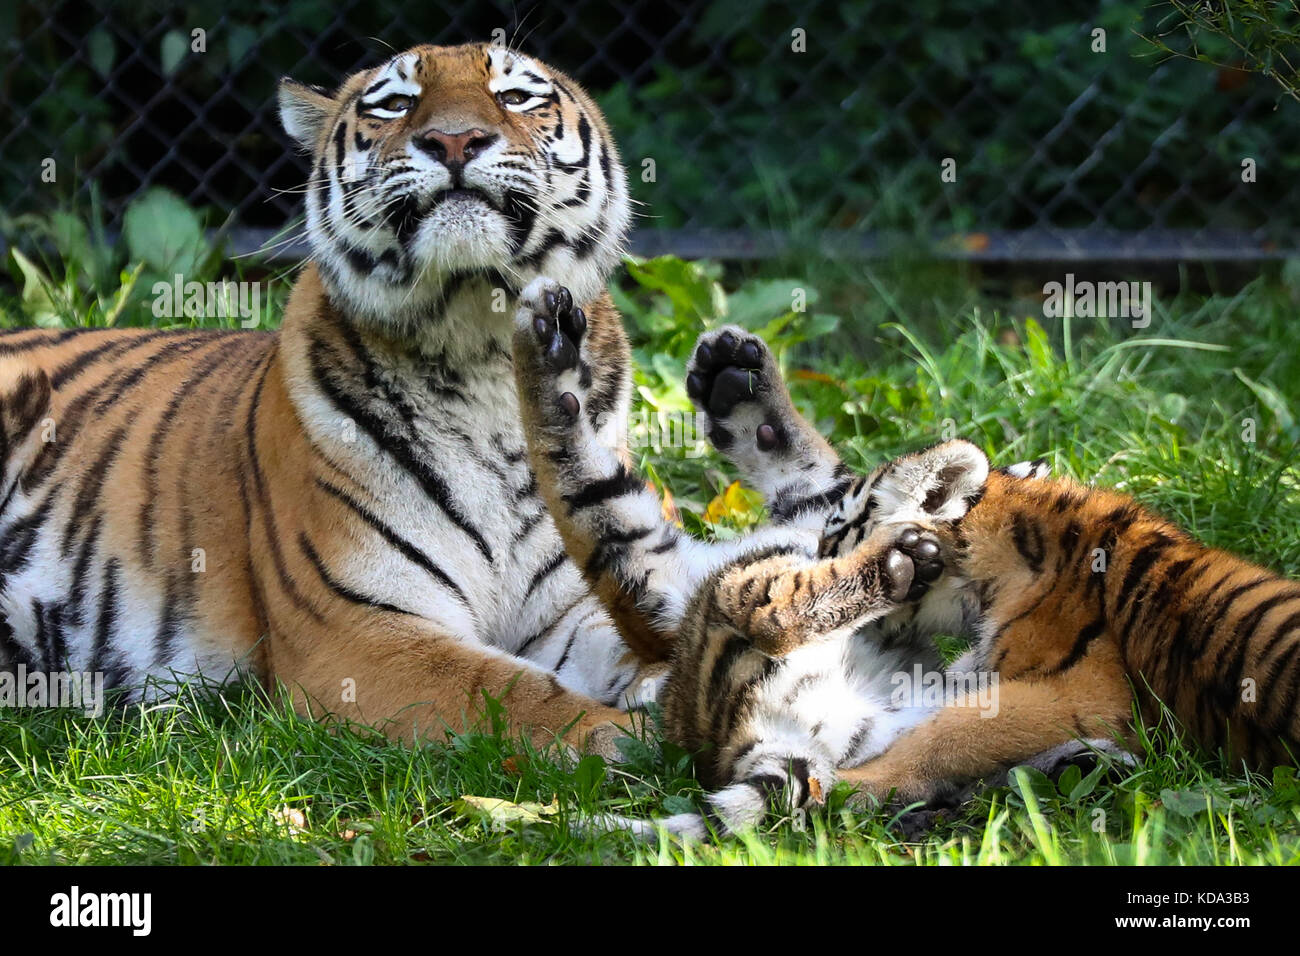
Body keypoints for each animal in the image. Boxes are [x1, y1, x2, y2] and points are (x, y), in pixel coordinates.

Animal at [0, 42, 803, 757]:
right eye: (394, 103)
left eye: (516, 96)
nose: (454, 139)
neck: (482, 353)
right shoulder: (354, 629)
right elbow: (510, 694)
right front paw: (631, 738)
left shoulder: (572, 609)